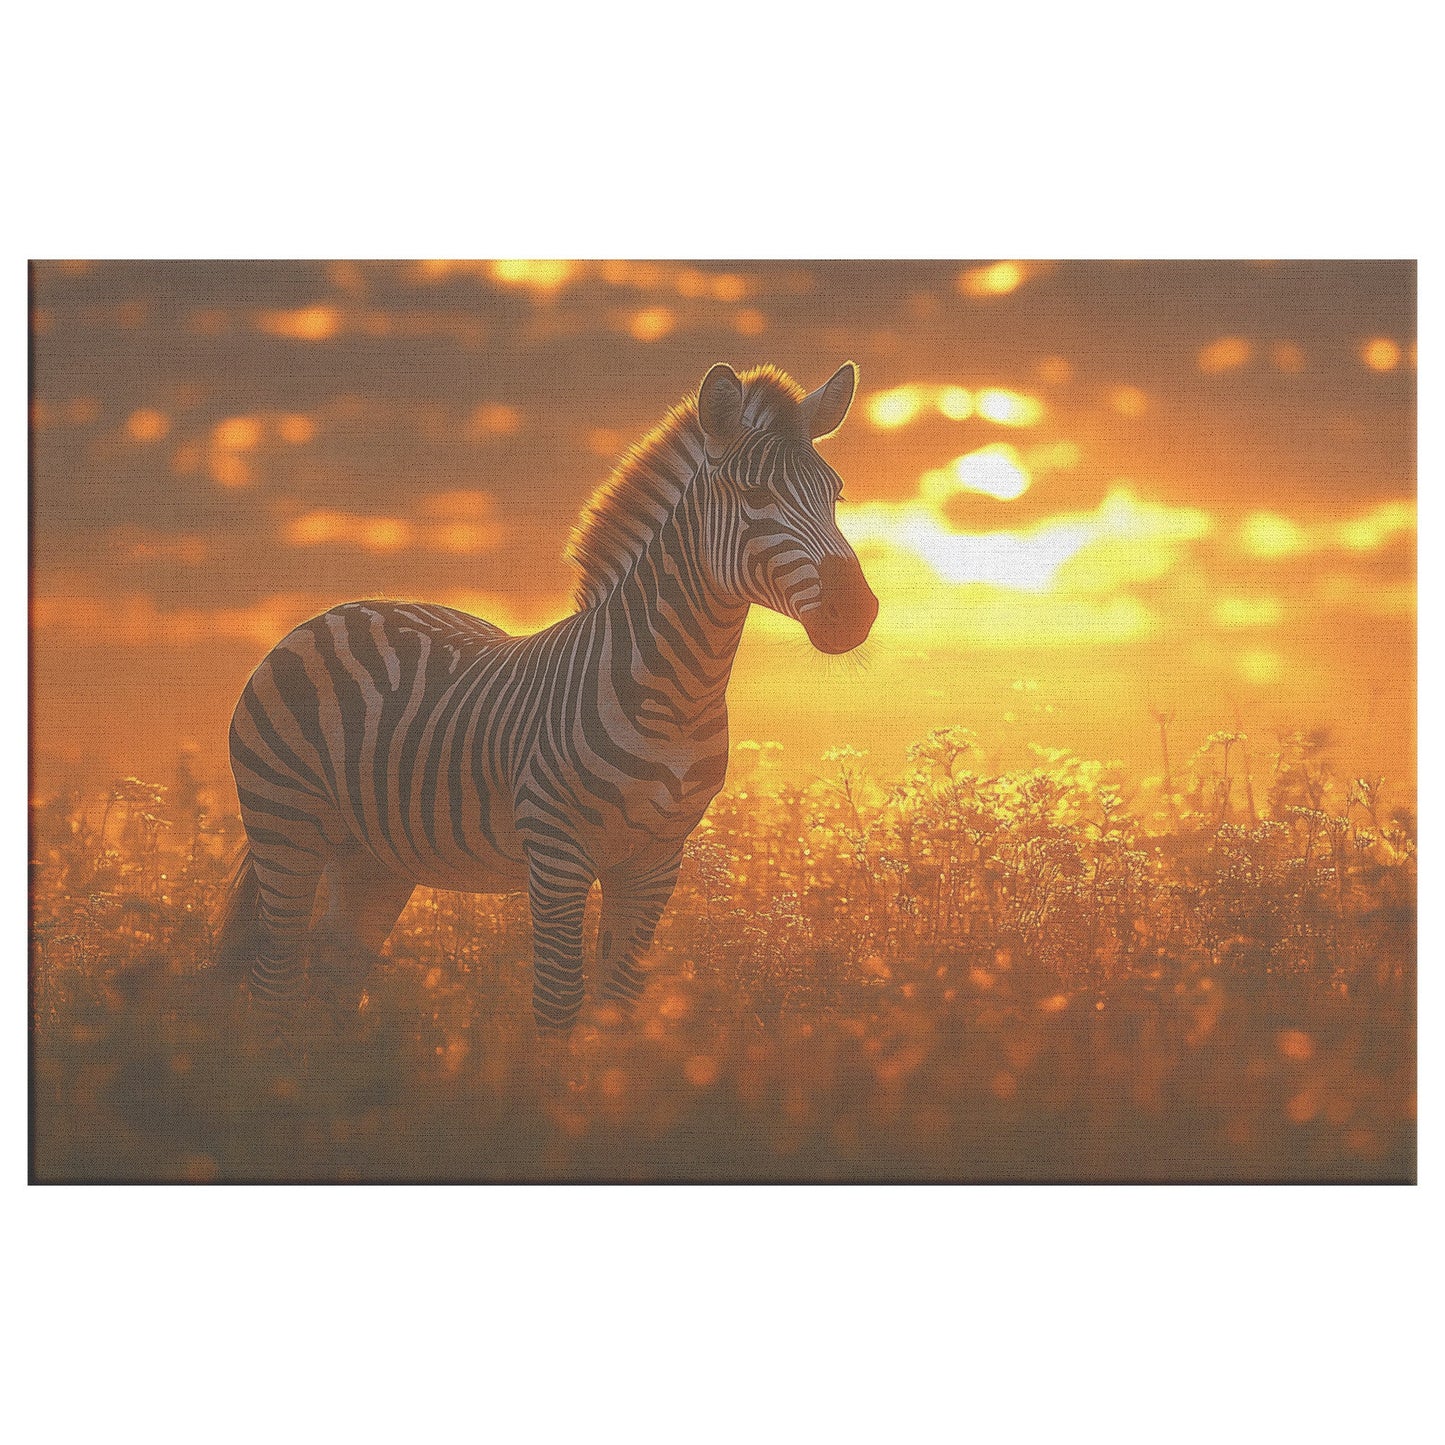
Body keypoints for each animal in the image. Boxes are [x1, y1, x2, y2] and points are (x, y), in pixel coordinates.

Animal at [216, 361, 878, 1036]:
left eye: (835, 494)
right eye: (752, 495)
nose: (857, 611)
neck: (678, 697)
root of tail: (332, 614)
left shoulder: (656, 861)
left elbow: (619, 1003)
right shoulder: (557, 854)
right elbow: (558, 1004)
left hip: (371, 857)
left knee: (335, 979)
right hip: (285, 825)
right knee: (274, 980)